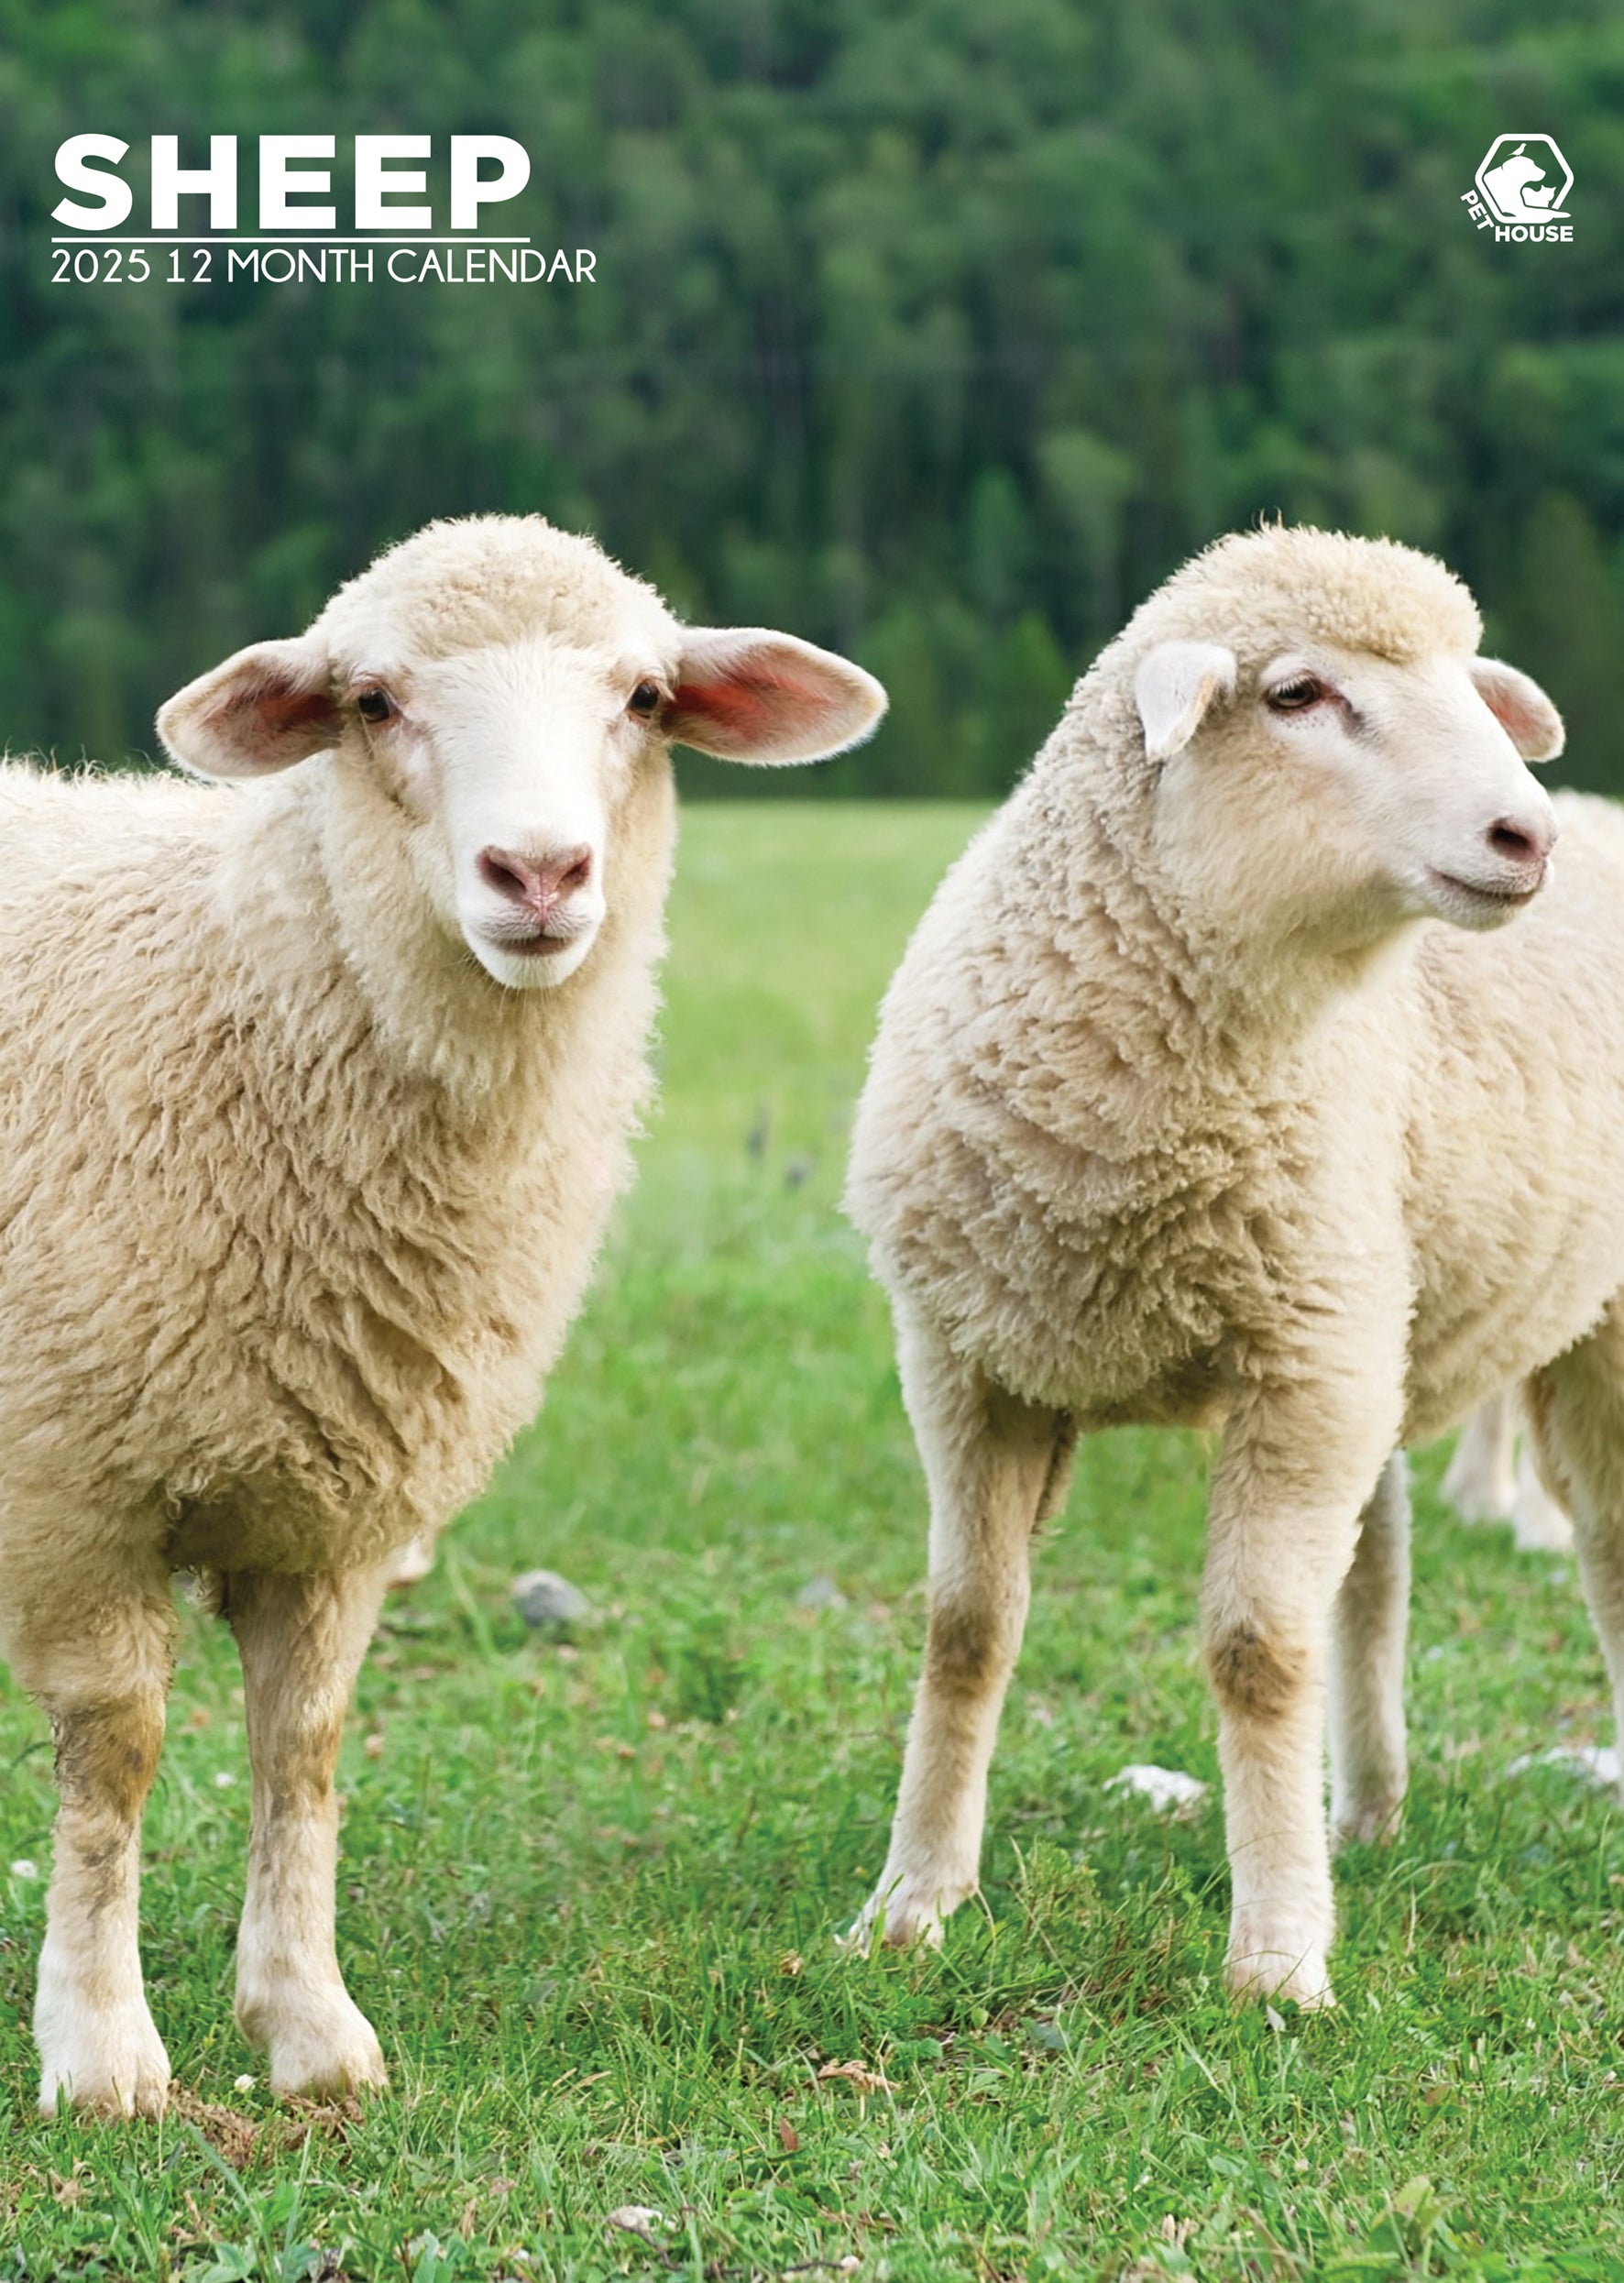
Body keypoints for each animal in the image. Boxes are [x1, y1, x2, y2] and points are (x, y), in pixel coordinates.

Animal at [0, 513, 884, 2118]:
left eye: (646, 697)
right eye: (373, 700)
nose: (538, 871)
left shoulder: (339, 1503)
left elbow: (304, 1749)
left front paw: (310, 2030)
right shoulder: (69, 1488)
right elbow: (116, 1756)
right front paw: (100, 2055)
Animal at [840, 523, 1624, 2009]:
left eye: (1474, 686)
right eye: (1297, 694)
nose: (1526, 835)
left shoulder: (1299, 1366)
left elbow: (1258, 1652)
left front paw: (1275, 1953)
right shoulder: (966, 1360)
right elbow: (964, 1627)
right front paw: (912, 1903)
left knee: (1603, 1549)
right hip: (1375, 1317)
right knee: (1379, 1568)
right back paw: (1364, 1811)